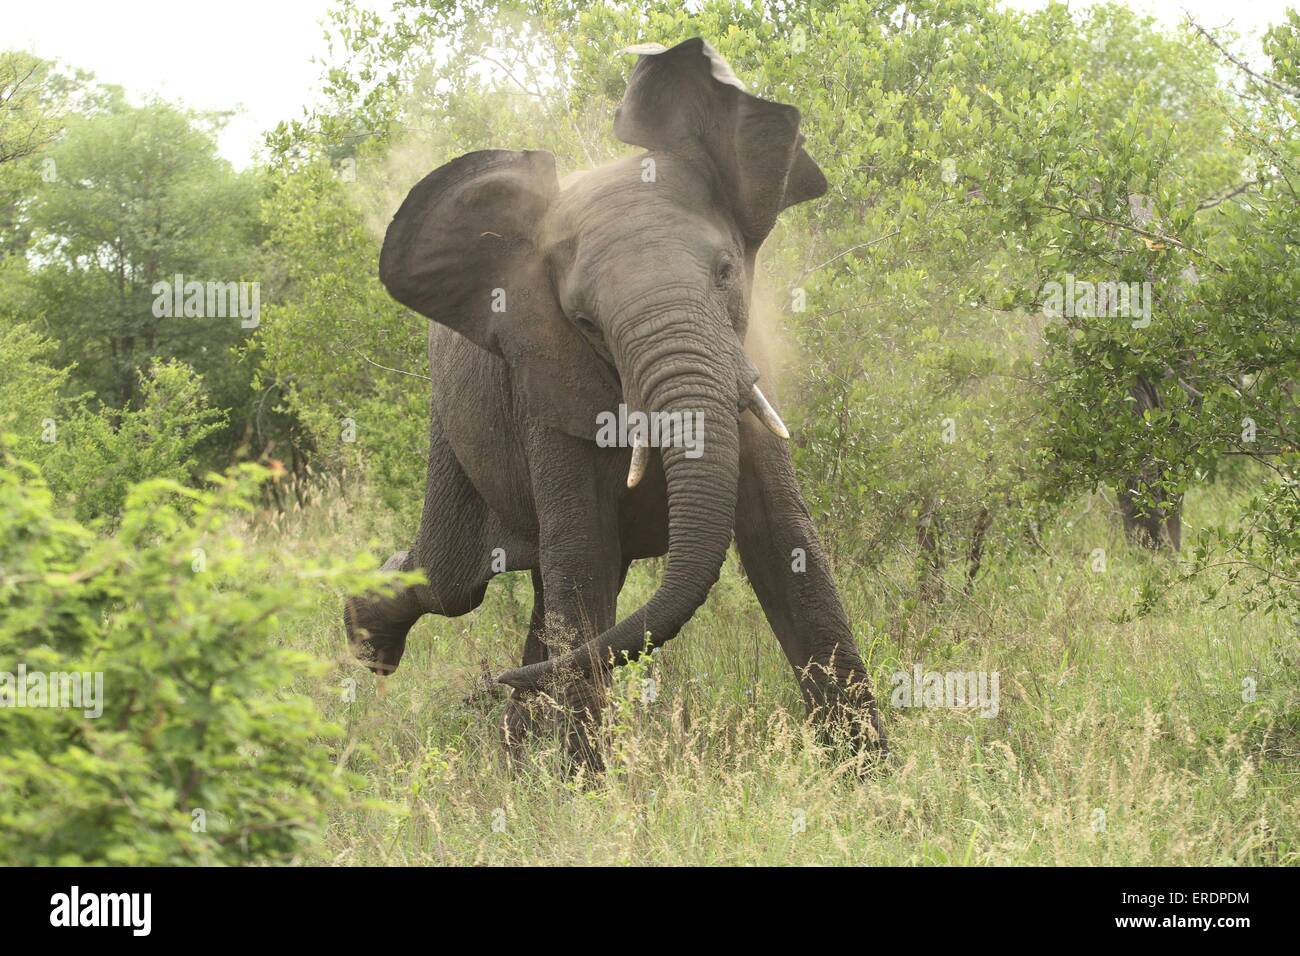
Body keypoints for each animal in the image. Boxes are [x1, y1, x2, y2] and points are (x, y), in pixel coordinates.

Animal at [345, 37, 886, 759]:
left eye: (726, 272)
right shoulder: (547, 383)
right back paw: (368, 642)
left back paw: (516, 753)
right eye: (584, 322)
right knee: (458, 579)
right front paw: (580, 784)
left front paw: (874, 775)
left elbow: (787, 545)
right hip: (450, 431)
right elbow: (583, 565)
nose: (492, 683)